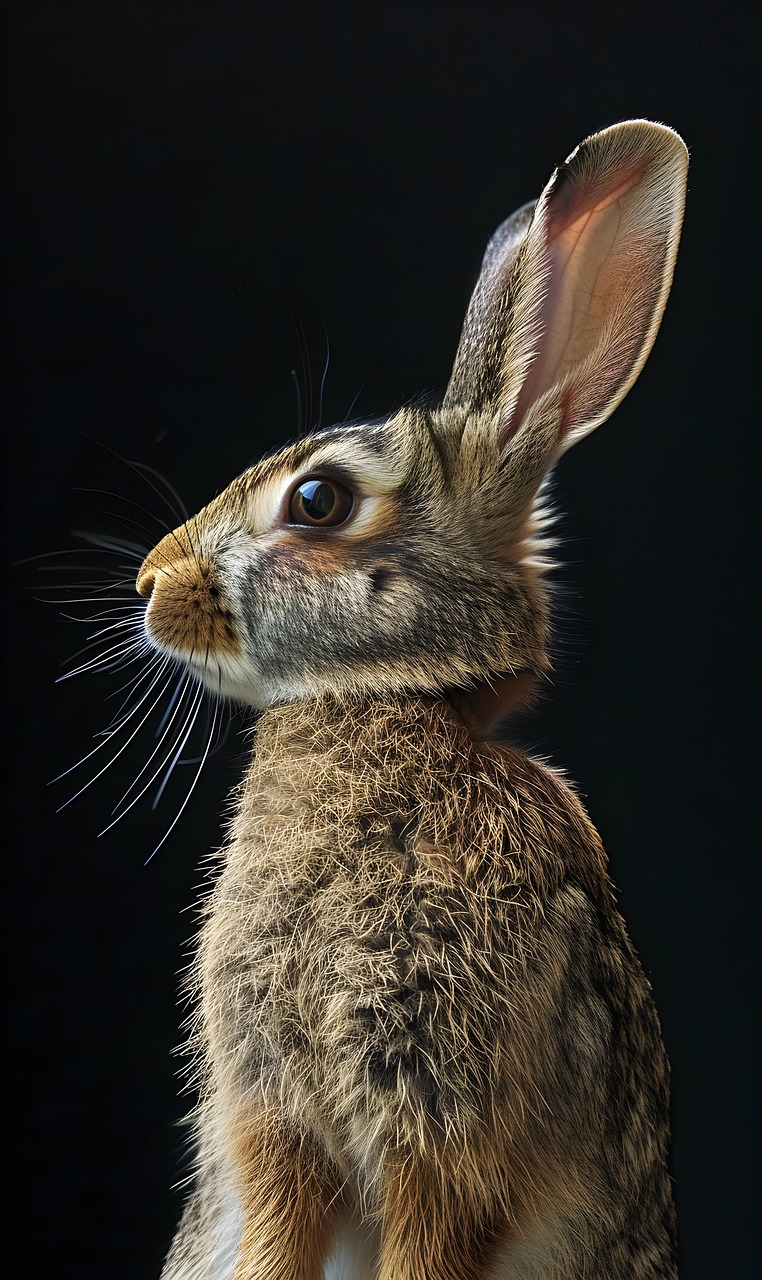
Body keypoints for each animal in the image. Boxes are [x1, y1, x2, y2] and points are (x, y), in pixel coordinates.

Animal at [137, 119, 688, 1279]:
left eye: (318, 499)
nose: (150, 584)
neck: (396, 709)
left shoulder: (448, 1128)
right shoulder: (277, 1118)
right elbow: (276, 1227)